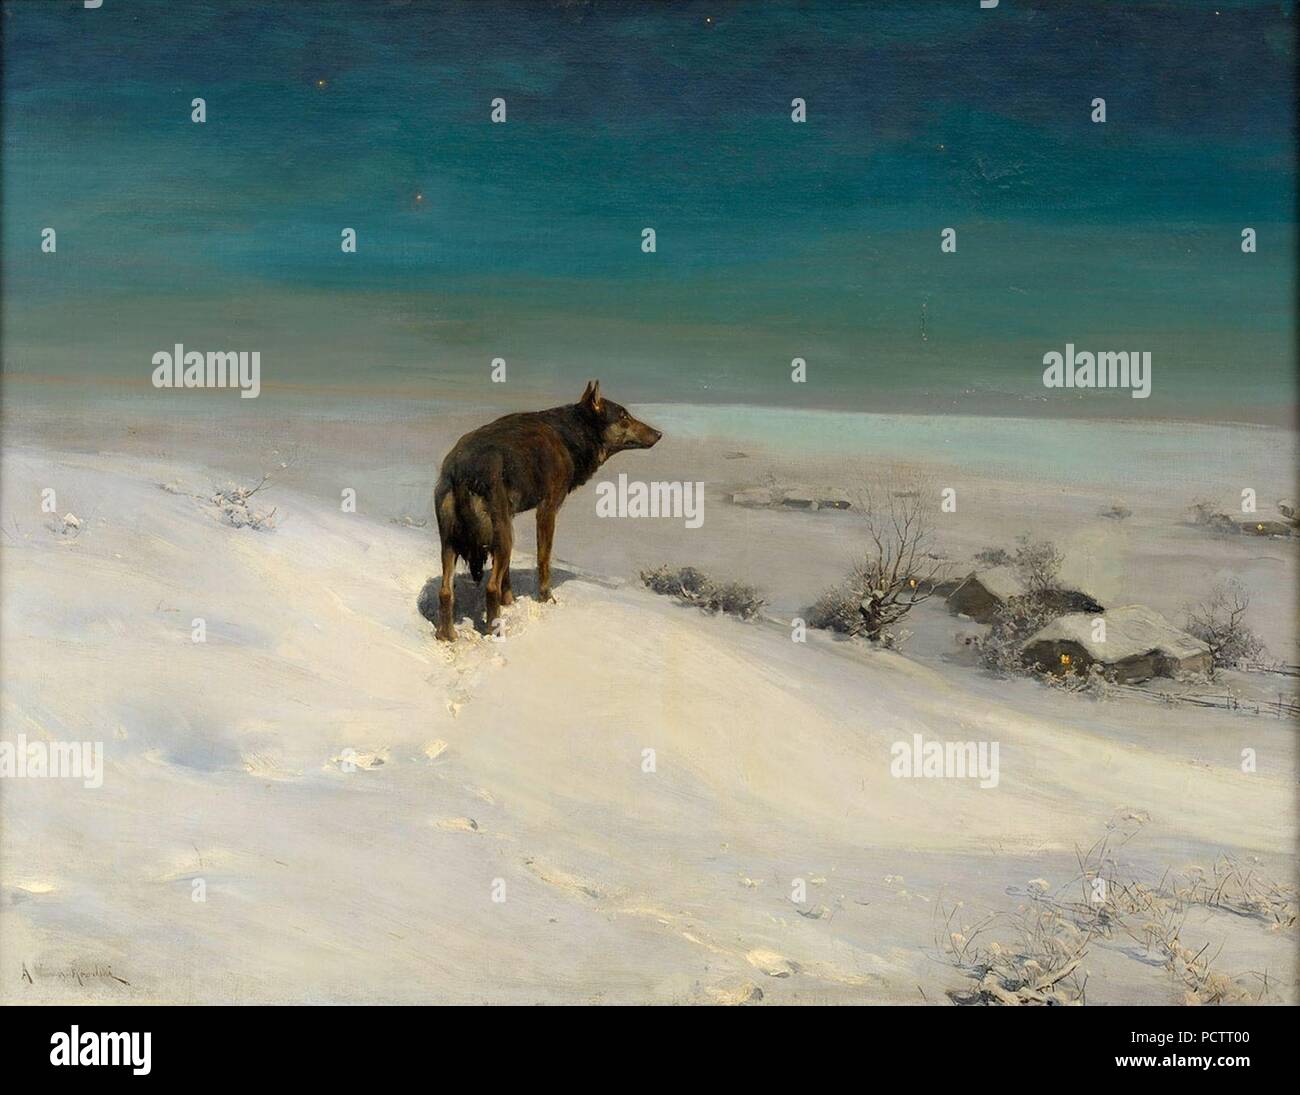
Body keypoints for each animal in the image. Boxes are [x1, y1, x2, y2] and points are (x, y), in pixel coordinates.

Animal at [433, 381, 661, 641]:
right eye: (624, 417)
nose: (660, 434)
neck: (571, 429)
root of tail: (463, 469)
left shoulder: (508, 523)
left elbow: (507, 574)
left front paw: (509, 600)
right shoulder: (547, 511)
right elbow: (543, 560)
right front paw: (545, 597)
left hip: (453, 542)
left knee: (446, 591)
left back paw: (447, 635)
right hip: (500, 536)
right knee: (490, 587)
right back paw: (495, 631)